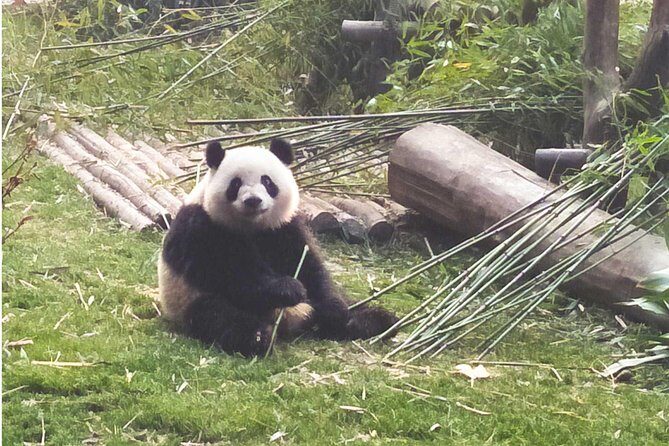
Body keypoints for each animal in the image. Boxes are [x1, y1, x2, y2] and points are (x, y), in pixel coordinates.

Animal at [158, 138, 398, 357]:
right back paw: (257, 338)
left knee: (351, 307)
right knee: (218, 316)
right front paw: (288, 289)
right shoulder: (201, 227)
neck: (253, 226)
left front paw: (333, 309)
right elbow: (230, 274)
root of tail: (292, 322)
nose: (253, 200)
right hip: (189, 300)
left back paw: (374, 320)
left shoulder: (284, 227)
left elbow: (309, 267)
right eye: (235, 184)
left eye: (267, 181)